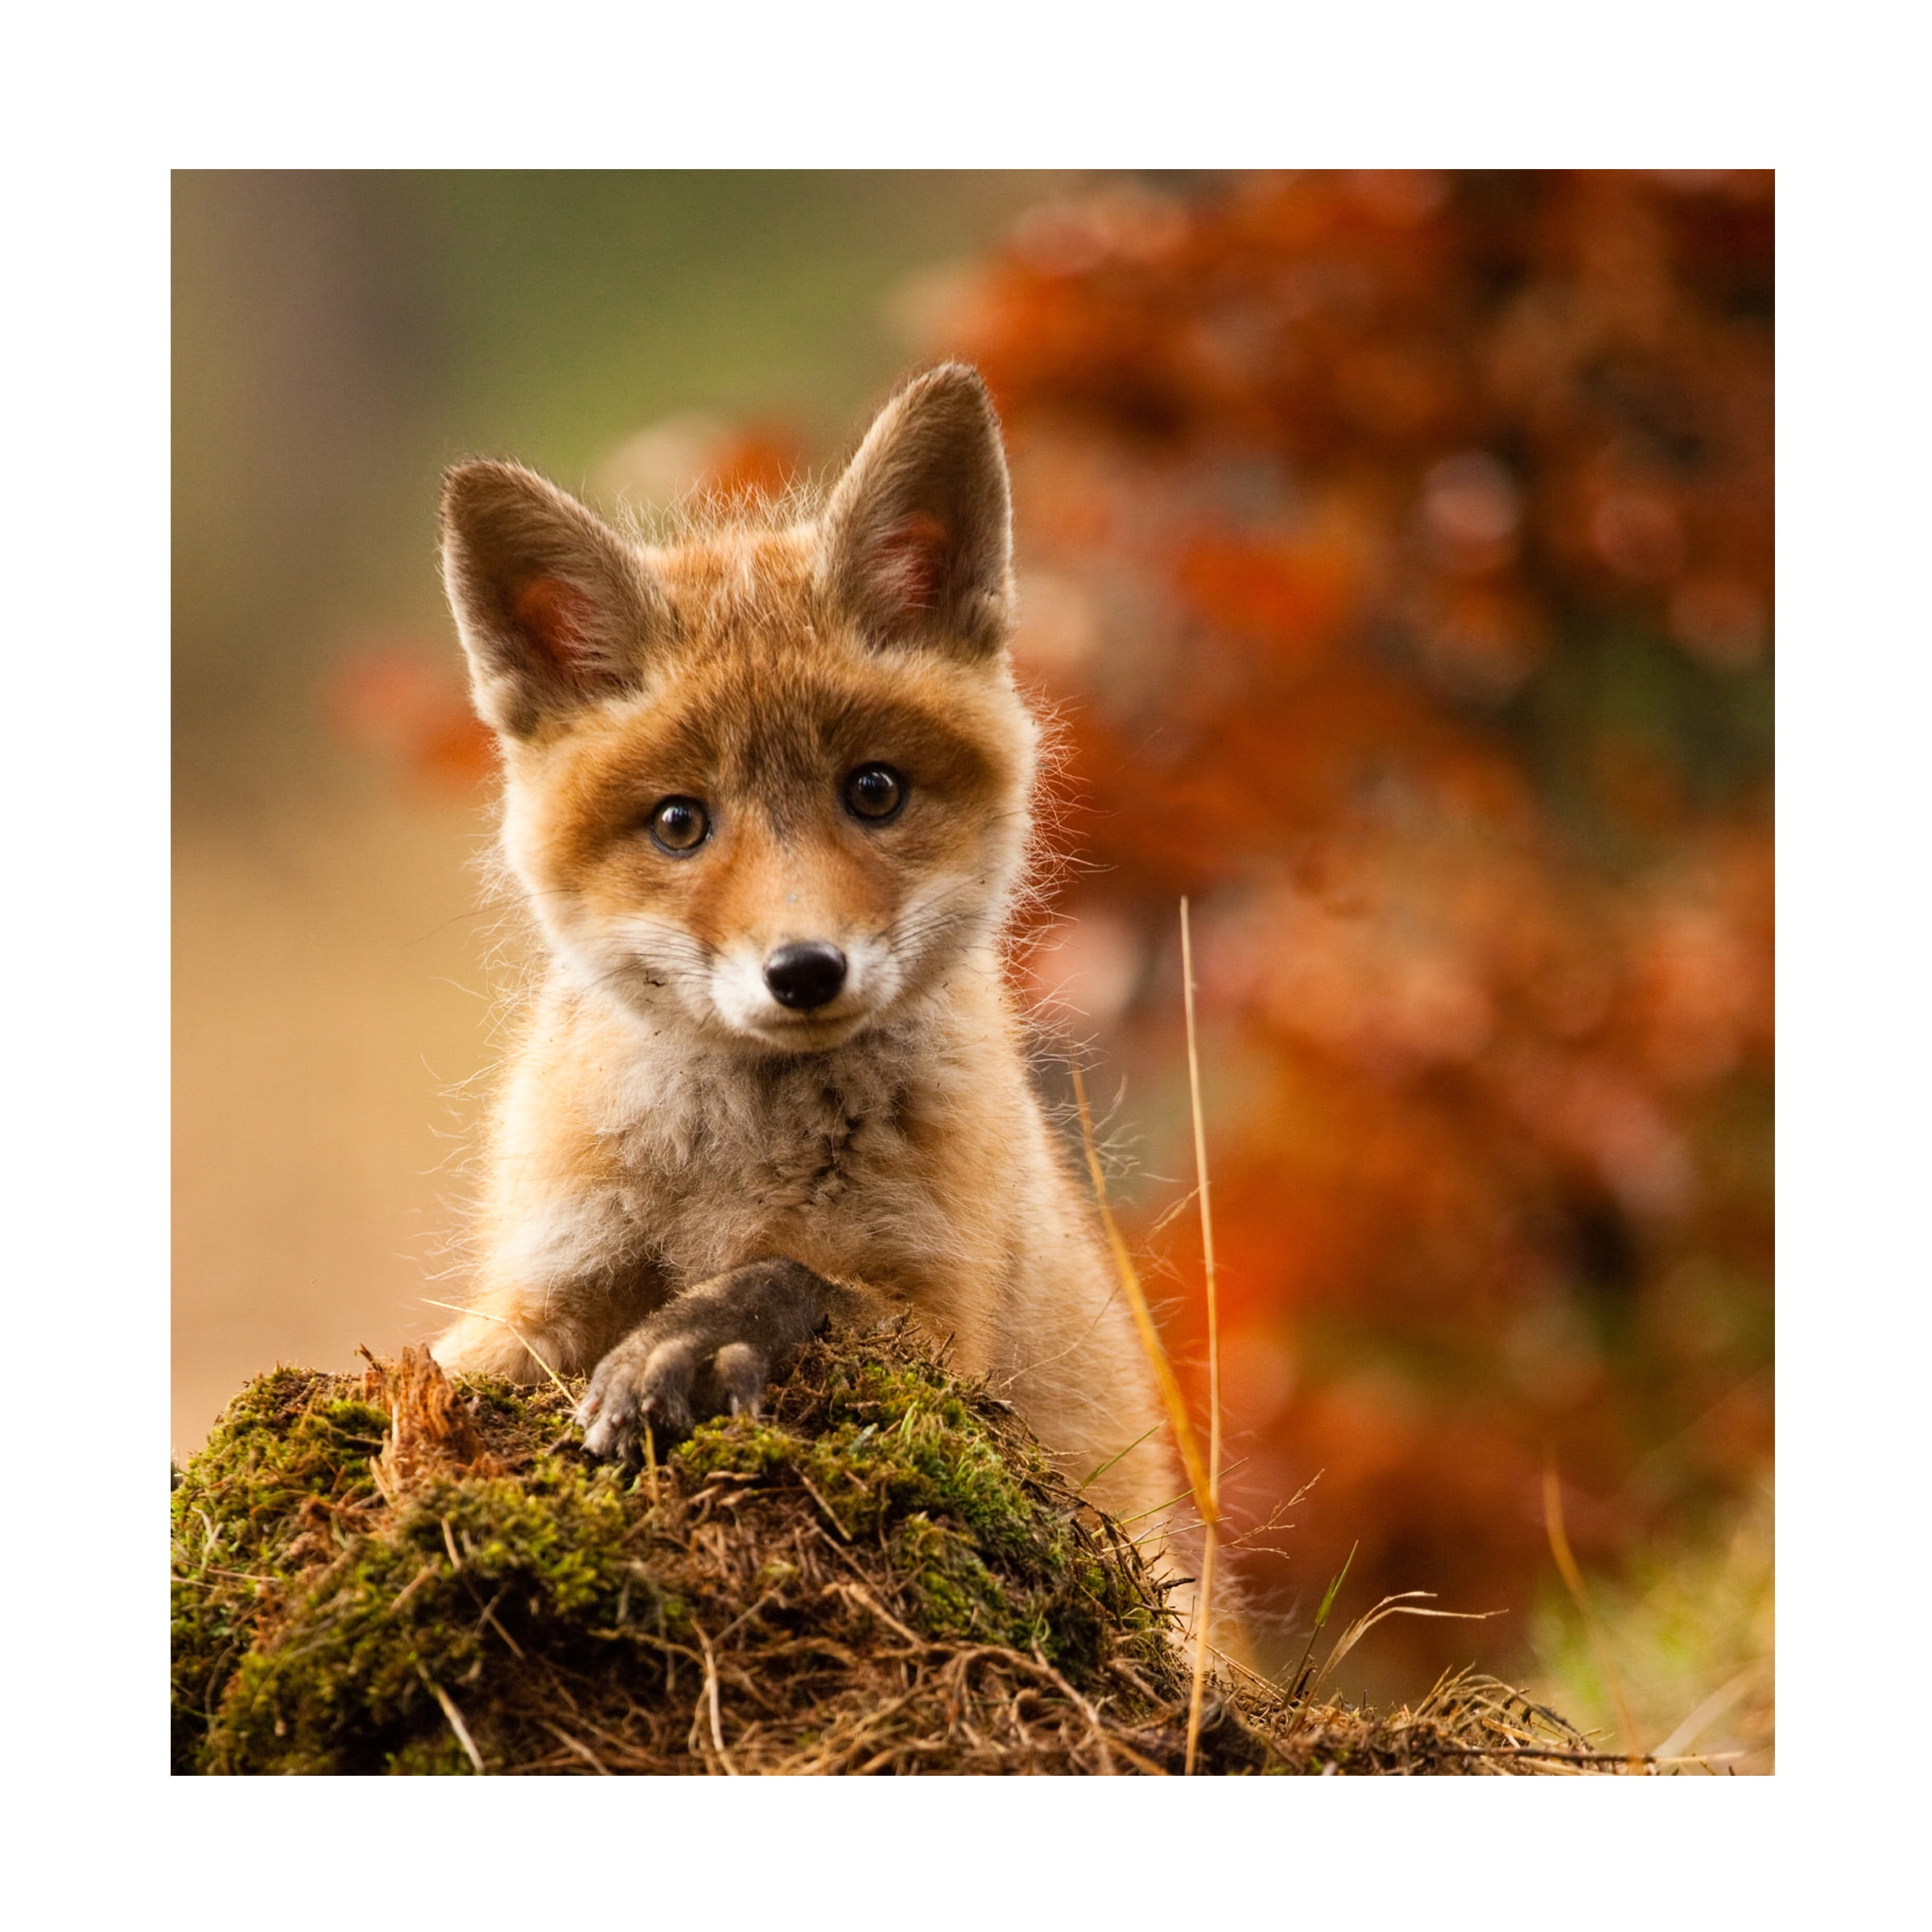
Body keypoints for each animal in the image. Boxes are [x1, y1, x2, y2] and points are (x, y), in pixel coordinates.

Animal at [428, 362, 1186, 1566]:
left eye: (873, 791)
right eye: (680, 823)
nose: (805, 972)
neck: (732, 1165)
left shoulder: (946, 1325)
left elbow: (789, 1278)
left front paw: (687, 1345)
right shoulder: (543, 1282)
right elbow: (439, 1370)